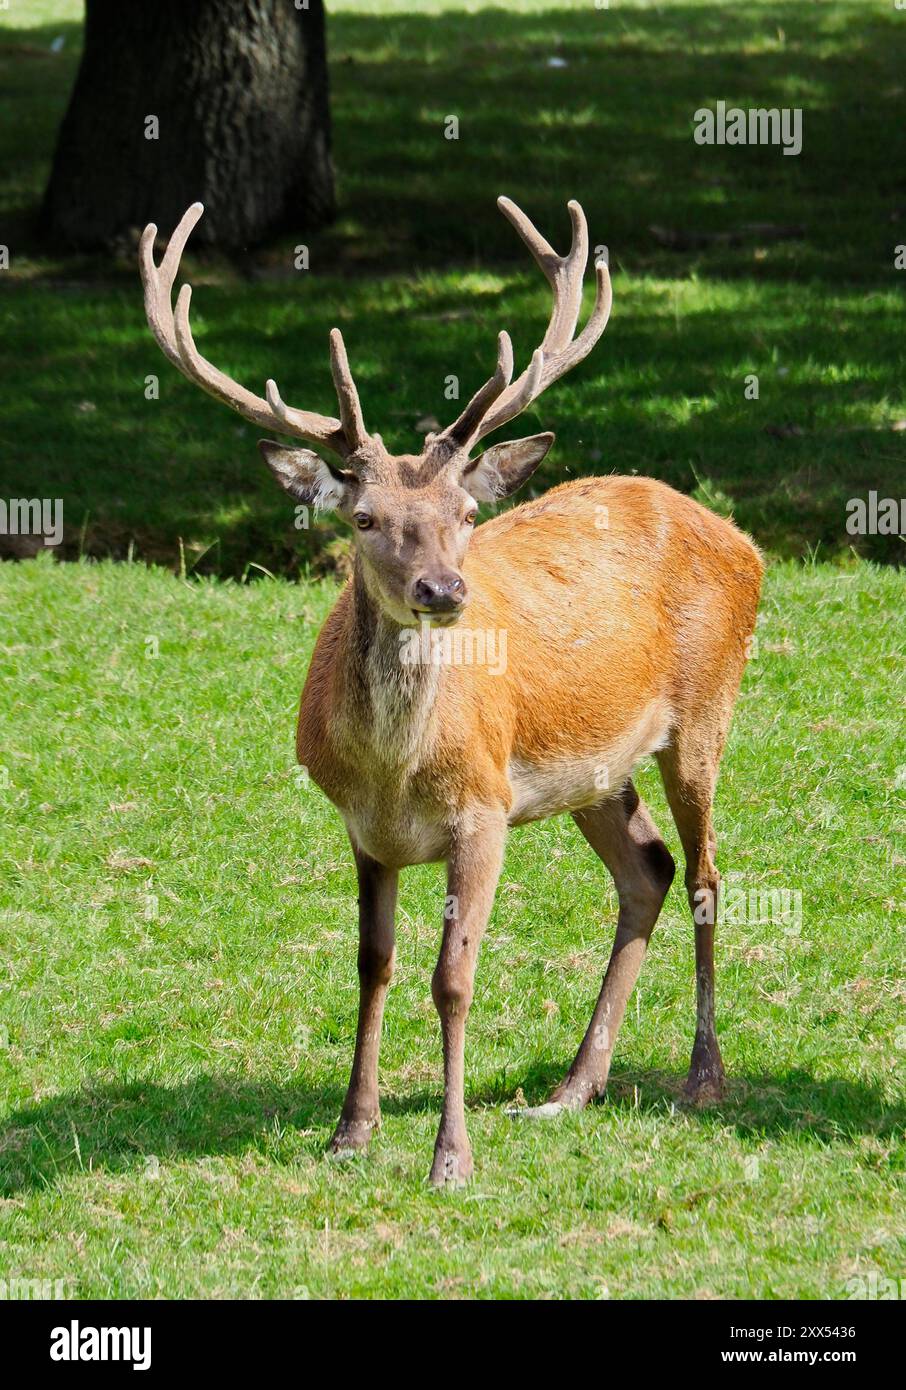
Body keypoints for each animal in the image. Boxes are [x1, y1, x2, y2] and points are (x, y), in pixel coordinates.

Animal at [140, 197, 763, 1186]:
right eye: (363, 518)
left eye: (467, 515)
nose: (444, 589)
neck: (396, 772)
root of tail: (746, 540)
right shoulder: (366, 830)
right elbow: (373, 964)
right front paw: (351, 1130)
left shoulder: (483, 806)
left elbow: (453, 977)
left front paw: (450, 1156)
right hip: (594, 769)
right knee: (649, 869)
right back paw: (573, 1088)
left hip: (704, 712)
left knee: (706, 873)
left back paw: (704, 1078)